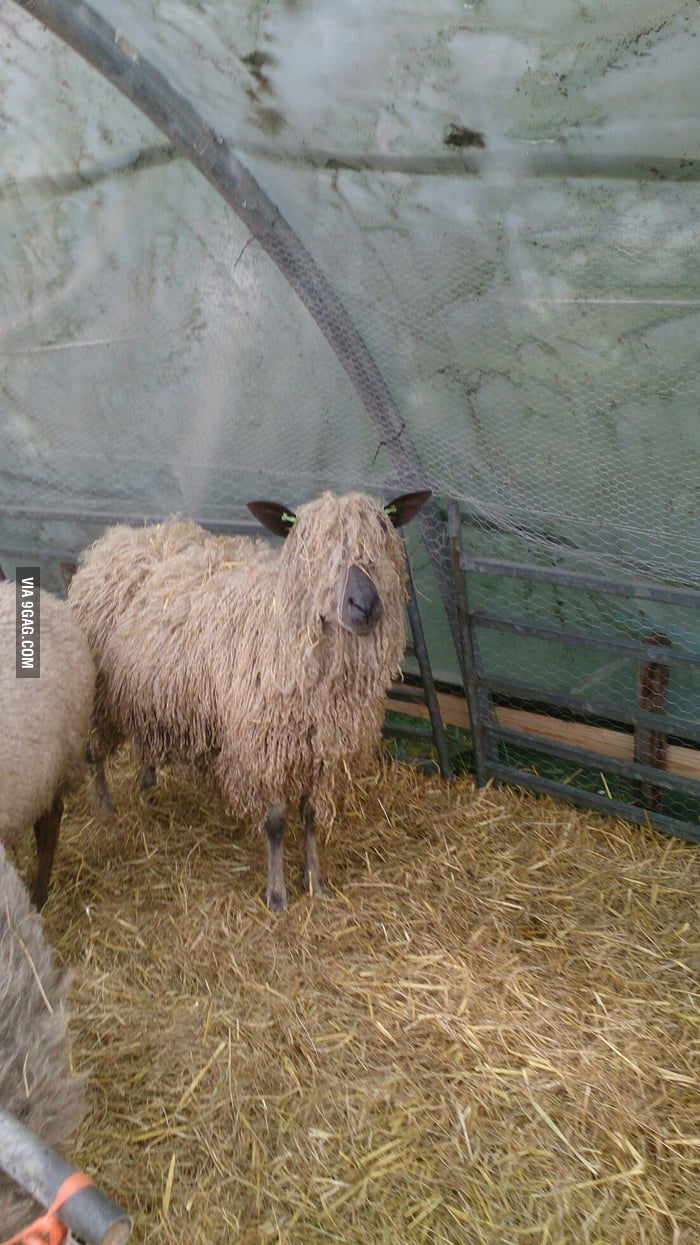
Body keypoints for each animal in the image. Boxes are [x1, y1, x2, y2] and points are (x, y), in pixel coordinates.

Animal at [67, 488, 430, 911]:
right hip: (99, 693)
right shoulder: (263, 747)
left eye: (382, 543)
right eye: (310, 550)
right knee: (94, 750)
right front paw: (277, 895)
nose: (365, 606)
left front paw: (315, 881)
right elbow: (276, 823)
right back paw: (105, 806)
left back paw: (148, 779)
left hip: (149, 691)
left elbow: (310, 816)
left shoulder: (322, 752)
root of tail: (119, 538)